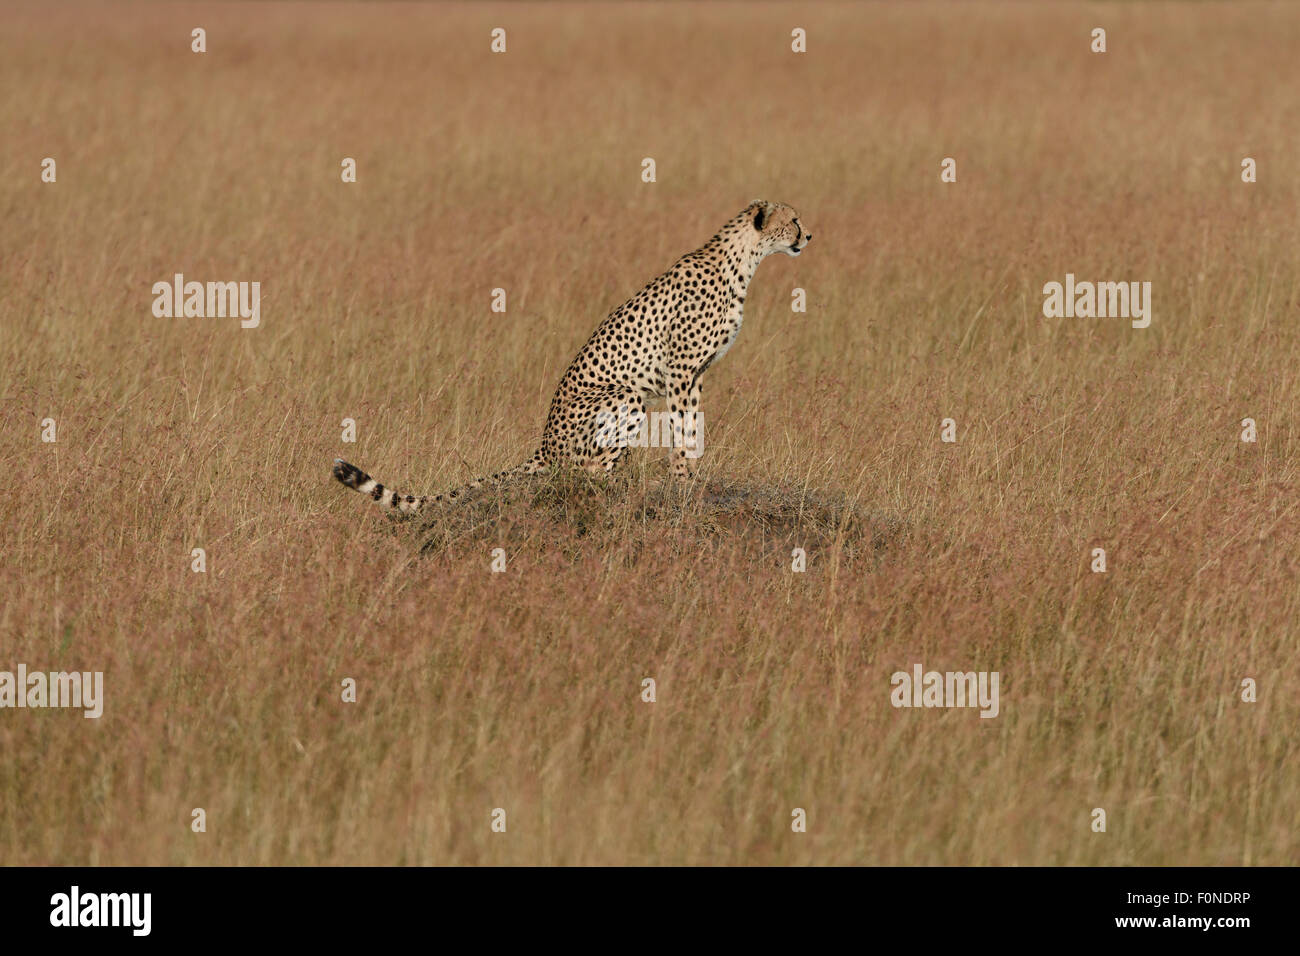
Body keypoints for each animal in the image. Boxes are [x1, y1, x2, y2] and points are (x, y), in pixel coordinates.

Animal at [333, 199, 811, 515]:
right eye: (793, 219)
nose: (809, 235)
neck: (743, 260)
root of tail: (543, 445)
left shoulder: (696, 375)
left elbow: (692, 427)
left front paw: (691, 478)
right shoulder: (681, 372)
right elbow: (683, 431)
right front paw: (681, 482)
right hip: (624, 395)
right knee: (583, 472)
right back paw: (615, 486)